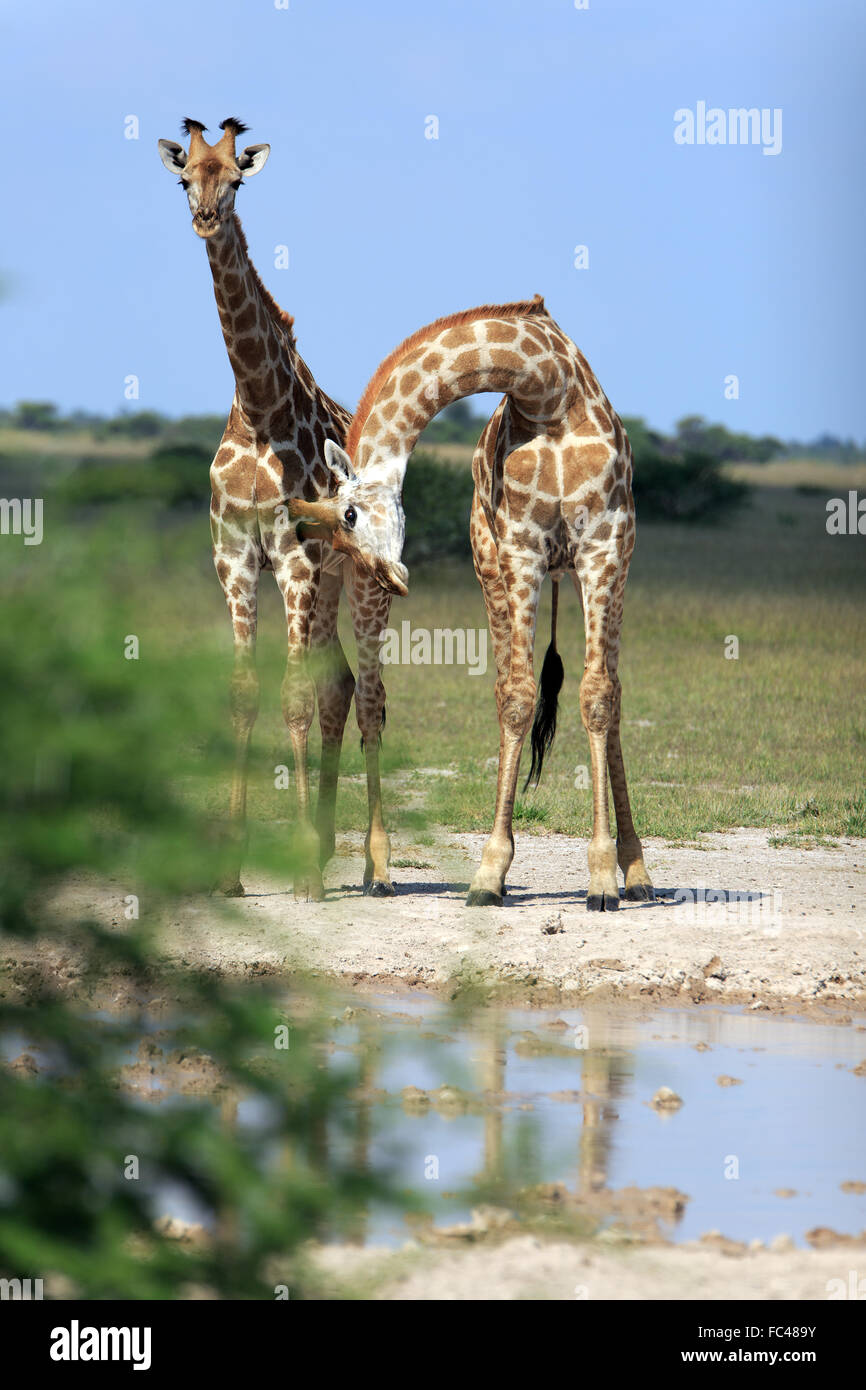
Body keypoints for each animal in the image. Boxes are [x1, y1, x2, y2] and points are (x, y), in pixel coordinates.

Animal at [157, 116, 381, 899]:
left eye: (237, 180)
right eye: (184, 177)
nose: (205, 217)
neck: (258, 411)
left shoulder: (294, 561)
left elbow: (292, 696)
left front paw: (305, 869)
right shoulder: (234, 559)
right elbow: (246, 693)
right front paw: (230, 869)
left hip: (357, 580)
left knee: (361, 691)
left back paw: (363, 863)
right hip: (329, 585)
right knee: (340, 683)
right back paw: (329, 848)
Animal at [290, 297, 655, 910]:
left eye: (349, 516)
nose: (388, 579)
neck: (547, 389)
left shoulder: (604, 546)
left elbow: (598, 697)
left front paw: (605, 878)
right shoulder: (521, 547)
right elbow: (518, 696)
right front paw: (489, 872)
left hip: (611, 567)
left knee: (614, 692)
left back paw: (639, 873)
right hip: (492, 568)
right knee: (512, 686)